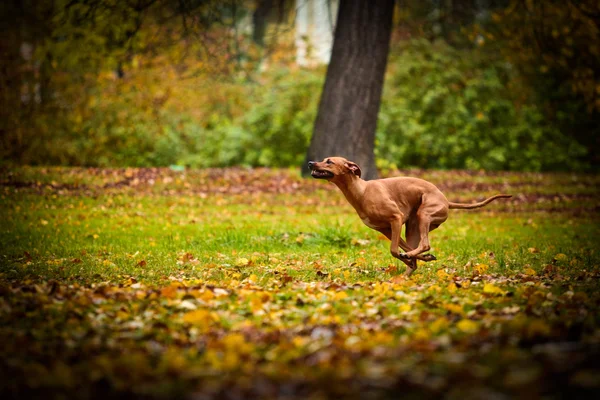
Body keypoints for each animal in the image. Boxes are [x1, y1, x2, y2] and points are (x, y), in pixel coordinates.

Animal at [310, 156, 510, 276]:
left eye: (329, 161)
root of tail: (446, 201)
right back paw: (410, 270)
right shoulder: (386, 230)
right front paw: (416, 260)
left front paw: (410, 258)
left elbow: (393, 250)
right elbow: (400, 250)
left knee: (425, 244)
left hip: (424, 214)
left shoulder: (396, 219)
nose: (311, 163)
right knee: (416, 248)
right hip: (412, 227)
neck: (361, 191)